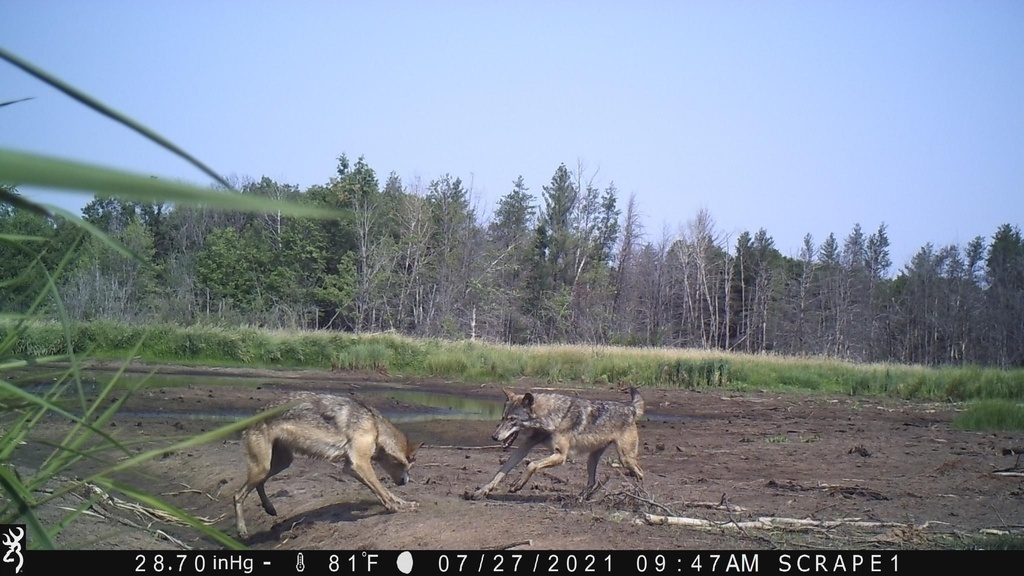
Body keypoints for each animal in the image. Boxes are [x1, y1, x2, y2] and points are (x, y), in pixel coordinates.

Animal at [233, 392, 422, 538]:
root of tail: (251, 417)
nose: (406, 482)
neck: (375, 426)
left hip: (279, 464)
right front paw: (396, 507)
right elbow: (382, 490)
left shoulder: (351, 467)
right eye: (409, 468)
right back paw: (242, 531)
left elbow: (386, 491)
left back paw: (269, 508)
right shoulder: (359, 464)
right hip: (263, 468)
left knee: (259, 485)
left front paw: (402, 502)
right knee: (238, 495)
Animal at [467, 386, 645, 501]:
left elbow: (531, 465)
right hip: (591, 460)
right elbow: (501, 472)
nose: (494, 437)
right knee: (592, 482)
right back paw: (580, 499)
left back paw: (640, 496)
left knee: (641, 474)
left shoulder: (560, 455)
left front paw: (517, 485)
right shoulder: (524, 448)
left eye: (512, 420)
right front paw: (482, 491)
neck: (550, 418)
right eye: (503, 418)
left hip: (625, 459)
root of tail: (630, 408)